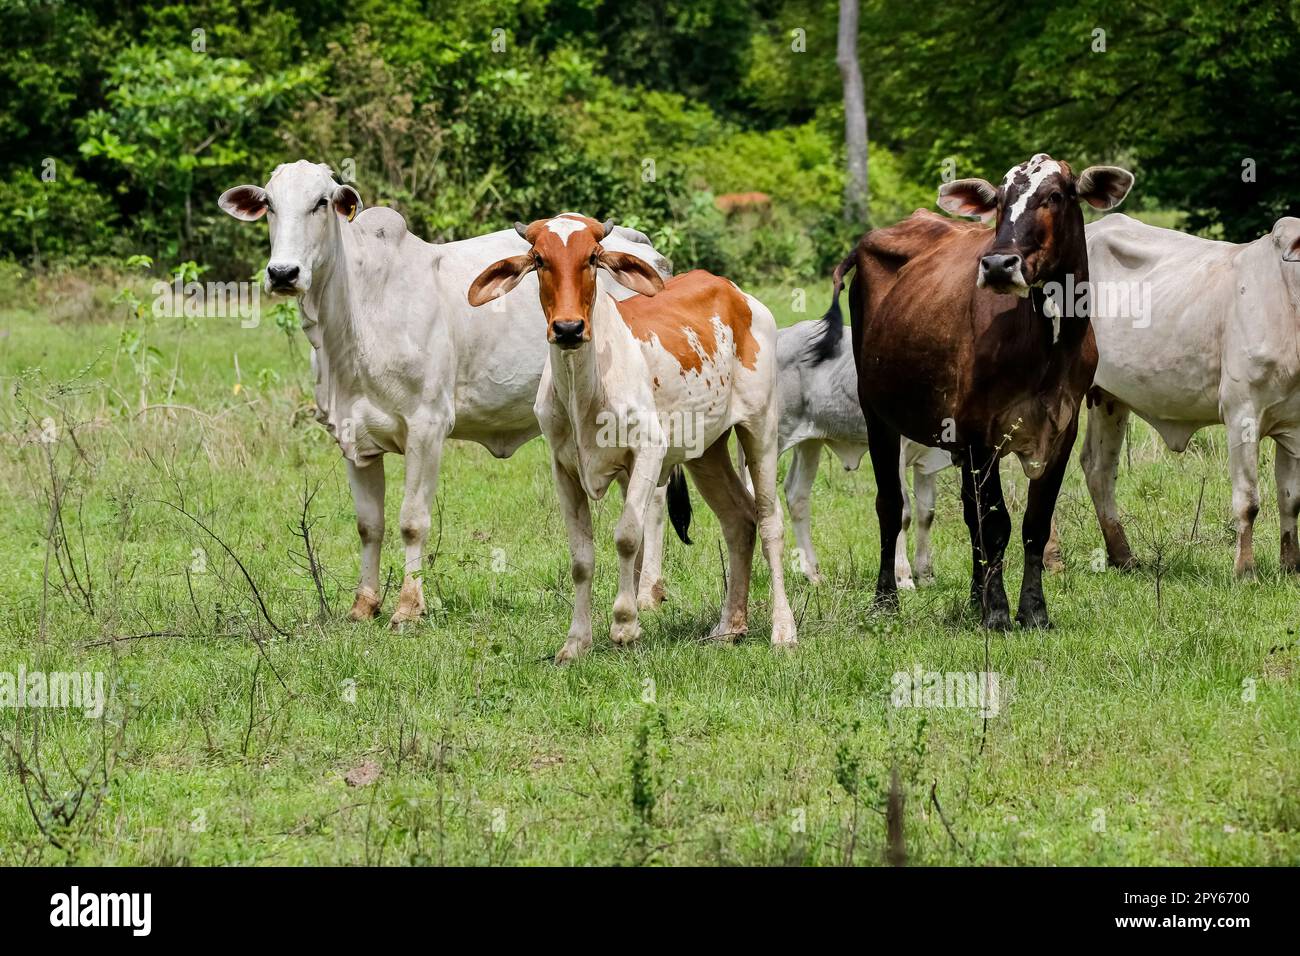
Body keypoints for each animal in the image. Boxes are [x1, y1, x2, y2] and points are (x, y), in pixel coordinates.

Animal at [219, 162, 672, 628]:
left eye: (321, 202)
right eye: (270, 204)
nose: (283, 273)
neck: (354, 315)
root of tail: (641, 247)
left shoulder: (427, 426)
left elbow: (412, 521)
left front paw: (407, 607)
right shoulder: (354, 437)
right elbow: (369, 524)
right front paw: (364, 605)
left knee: (654, 499)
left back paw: (648, 592)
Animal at [467, 213, 797, 663]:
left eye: (593, 258)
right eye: (538, 259)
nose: (568, 328)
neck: (584, 387)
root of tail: (736, 293)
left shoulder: (648, 451)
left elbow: (627, 536)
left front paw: (624, 625)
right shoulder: (563, 466)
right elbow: (581, 556)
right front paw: (576, 642)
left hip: (760, 427)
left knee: (769, 522)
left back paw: (783, 630)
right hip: (705, 450)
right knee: (737, 521)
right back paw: (730, 627)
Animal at [814, 153, 1133, 629]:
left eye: (1055, 196)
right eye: (998, 200)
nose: (999, 264)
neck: (1047, 340)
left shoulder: (1062, 429)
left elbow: (1034, 524)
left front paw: (1032, 611)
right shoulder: (982, 434)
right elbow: (995, 523)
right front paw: (998, 613)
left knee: (968, 512)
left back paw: (971, 598)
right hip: (878, 415)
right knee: (890, 505)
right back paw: (886, 599)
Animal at [1081, 213, 1300, 577]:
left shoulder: (1294, 423)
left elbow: (1290, 499)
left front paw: (1291, 567)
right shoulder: (1242, 412)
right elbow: (1249, 501)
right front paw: (1245, 571)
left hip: (1107, 397)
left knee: (1098, 468)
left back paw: (1123, 556)